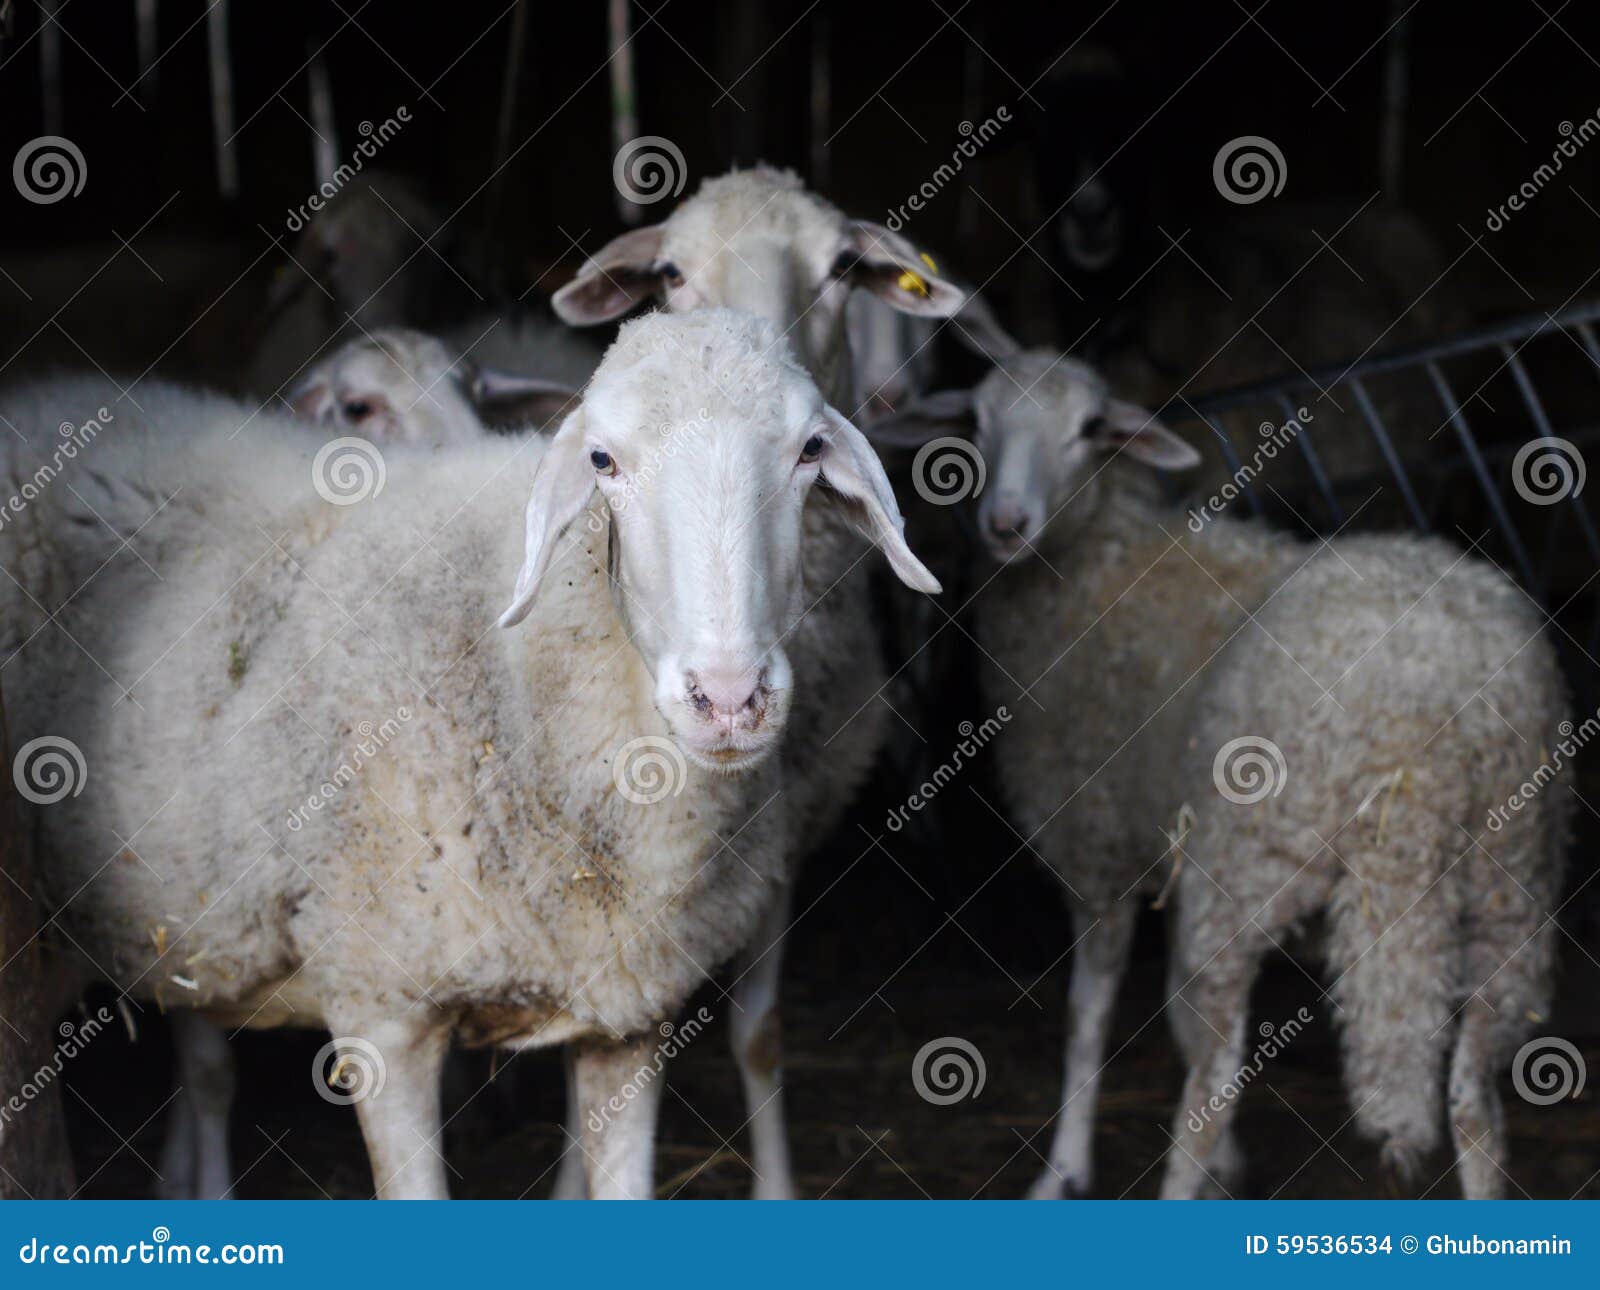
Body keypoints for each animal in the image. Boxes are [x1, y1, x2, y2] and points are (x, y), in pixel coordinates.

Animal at [886, 349, 1568, 1199]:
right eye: (975, 424)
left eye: (1088, 428)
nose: (1005, 525)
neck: (1097, 566)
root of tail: (1446, 700)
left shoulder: (1099, 851)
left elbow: (1089, 1017)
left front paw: (1066, 1169)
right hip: (1511, 888)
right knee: (1476, 1101)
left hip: (1249, 869)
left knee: (1212, 1081)